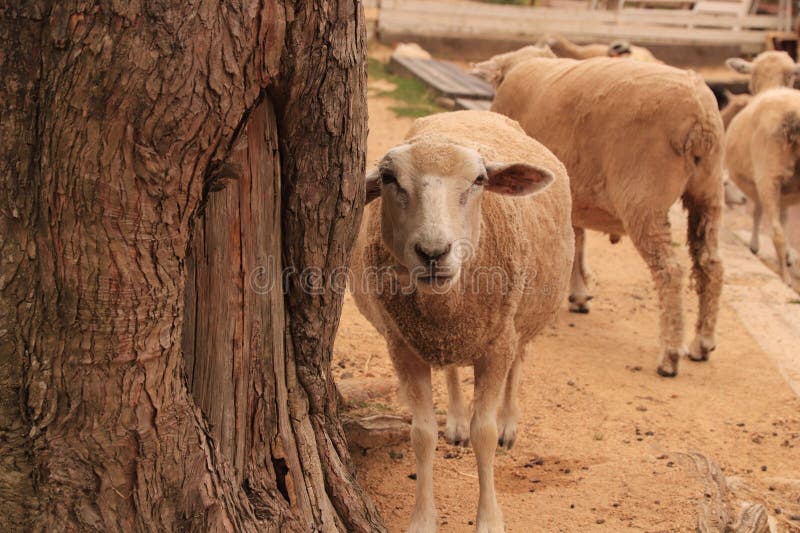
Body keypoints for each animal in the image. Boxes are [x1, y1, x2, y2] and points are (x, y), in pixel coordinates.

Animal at [350, 110, 574, 532]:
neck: (445, 305)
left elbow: (483, 433)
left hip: (524, 317)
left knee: (519, 362)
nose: (433, 252)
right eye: (388, 178)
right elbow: (422, 434)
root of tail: (471, 112)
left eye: (479, 180)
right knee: (453, 369)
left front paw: (489, 518)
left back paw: (509, 423)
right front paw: (422, 519)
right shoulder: (403, 347)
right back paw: (454, 420)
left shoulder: (498, 344)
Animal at [483, 54, 725, 377]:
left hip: (644, 197)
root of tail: (701, 117)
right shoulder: (572, 194)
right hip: (708, 193)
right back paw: (703, 343)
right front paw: (579, 294)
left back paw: (670, 355)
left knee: (670, 271)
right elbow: (577, 241)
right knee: (711, 265)